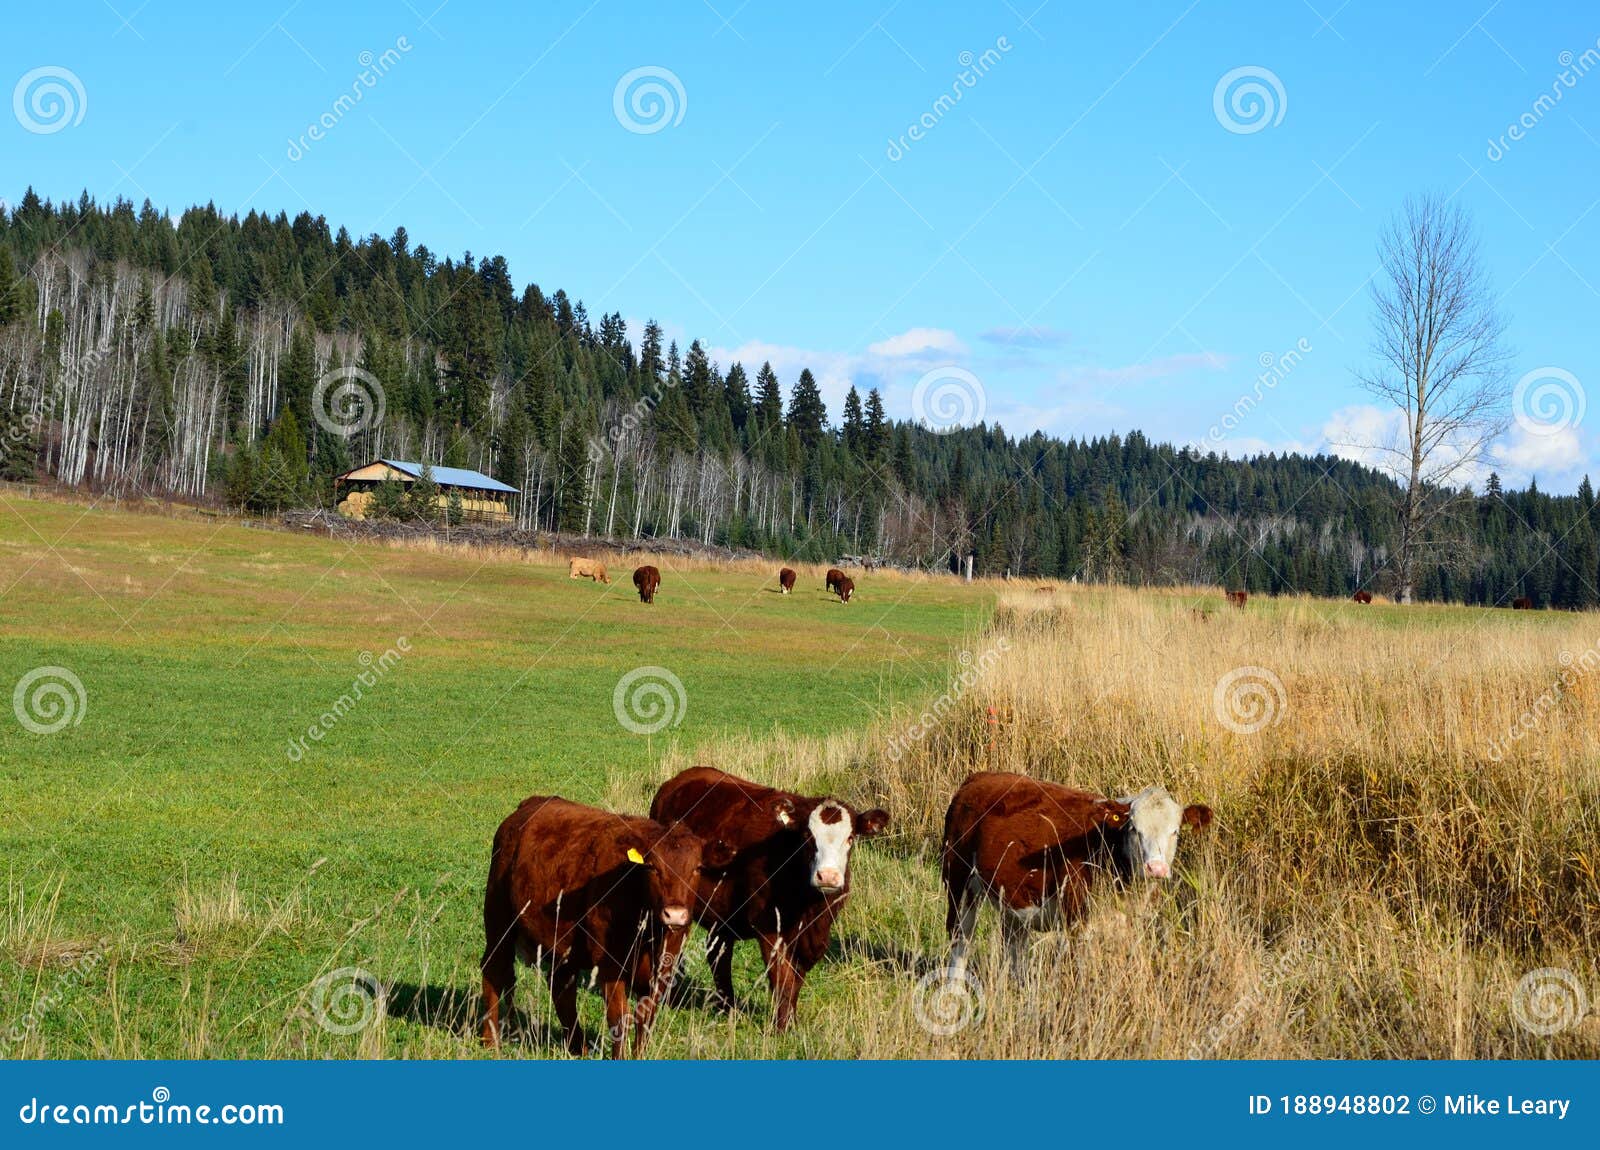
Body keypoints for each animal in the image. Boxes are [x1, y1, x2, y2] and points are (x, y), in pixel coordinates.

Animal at [480, 795, 733, 1058]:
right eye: (653, 867)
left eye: (697, 868)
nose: (674, 914)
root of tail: (530, 804)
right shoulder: (611, 965)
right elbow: (619, 1018)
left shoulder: (664, 967)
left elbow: (646, 1017)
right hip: (498, 918)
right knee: (494, 969)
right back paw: (490, 1039)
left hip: (561, 942)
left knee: (561, 987)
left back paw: (577, 1047)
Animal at [649, 767, 890, 1030]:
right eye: (808, 837)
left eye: (851, 838)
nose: (827, 876)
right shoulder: (769, 928)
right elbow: (781, 977)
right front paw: (782, 1026)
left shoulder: (812, 936)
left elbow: (795, 978)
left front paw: (791, 1021)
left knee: (719, 955)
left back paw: (728, 1006)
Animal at [941, 772, 1212, 982]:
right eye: (1134, 829)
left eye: (1175, 832)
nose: (1155, 868)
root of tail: (979, 778)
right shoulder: (1077, 917)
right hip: (958, 881)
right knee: (961, 940)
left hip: (1014, 898)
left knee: (1014, 945)